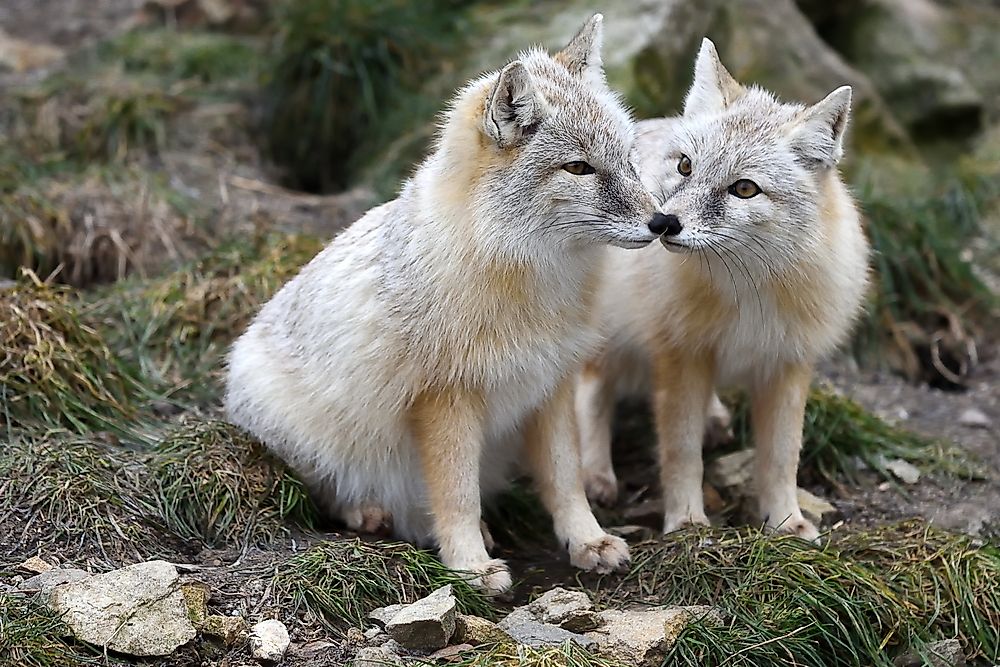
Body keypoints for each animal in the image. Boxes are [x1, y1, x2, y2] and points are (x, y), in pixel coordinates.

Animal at [225, 15, 670, 594]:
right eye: (579, 168)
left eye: (627, 157)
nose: (661, 222)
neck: (528, 282)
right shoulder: (446, 398)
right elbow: (456, 493)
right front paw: (470, 566)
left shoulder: (550, 381)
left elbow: (565, 477)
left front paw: (586, 539)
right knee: (332, 488)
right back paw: (369, 511)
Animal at [575, 39, 870, 541]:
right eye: (685, 166)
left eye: (745, 189)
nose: (665, 223)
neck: (748, 293)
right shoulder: (681, 356)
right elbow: (680, 452)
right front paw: (687, 522)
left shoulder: (787, 364)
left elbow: (781, 458)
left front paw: (787, 521)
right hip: (608, 339)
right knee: (591, 391)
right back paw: (596, 473)